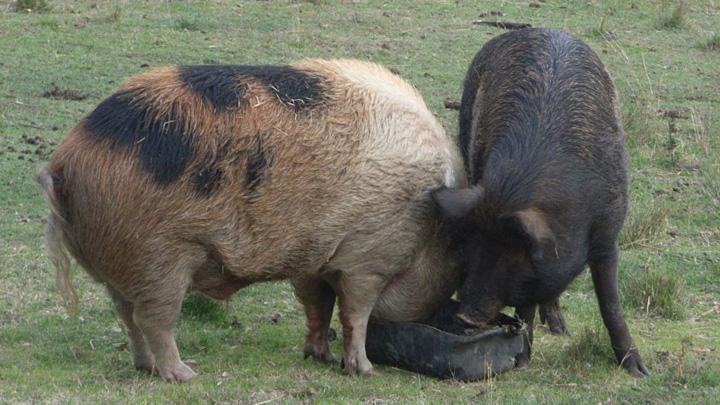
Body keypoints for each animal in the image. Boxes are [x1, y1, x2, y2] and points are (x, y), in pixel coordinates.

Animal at [37, 59, 466, 382]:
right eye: (455, 259)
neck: (428, 225)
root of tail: (63, 165)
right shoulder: (371, 254)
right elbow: (355, 313)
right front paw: (364, 370)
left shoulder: (312, 256)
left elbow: (317, 305)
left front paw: (321, 358)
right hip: (158, 257)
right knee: (152, 319)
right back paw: (184, 374)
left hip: (123, 266)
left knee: (127, 316)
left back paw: (147, 368)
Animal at [433, 28, 649, 377]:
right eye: (470, 249)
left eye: (511, 259)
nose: (465, 317)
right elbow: (526, 306)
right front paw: (521, 360)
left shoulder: (608, 232)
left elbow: (610, 302)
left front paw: (639, 370)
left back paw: (561, 330)